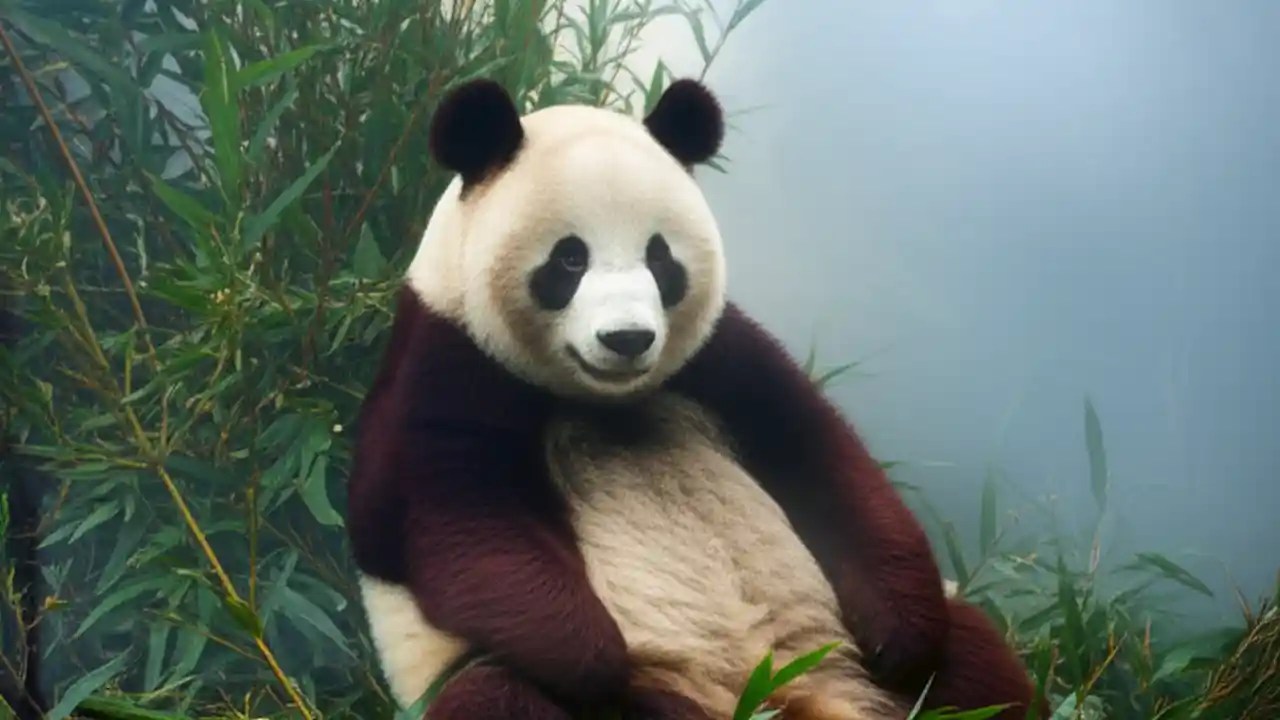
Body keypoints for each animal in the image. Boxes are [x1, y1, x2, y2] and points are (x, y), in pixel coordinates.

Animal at [345, 78, 1041, 720]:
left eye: (660, 258)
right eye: (568, 260)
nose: (627, 338)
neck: (606, 399)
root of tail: (792, 700)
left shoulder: (723, 359)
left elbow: (827, 462)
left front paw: (901, 635)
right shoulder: (445, 363)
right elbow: (465, 526)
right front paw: (596, 658)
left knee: (976, 663)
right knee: (495, 693)